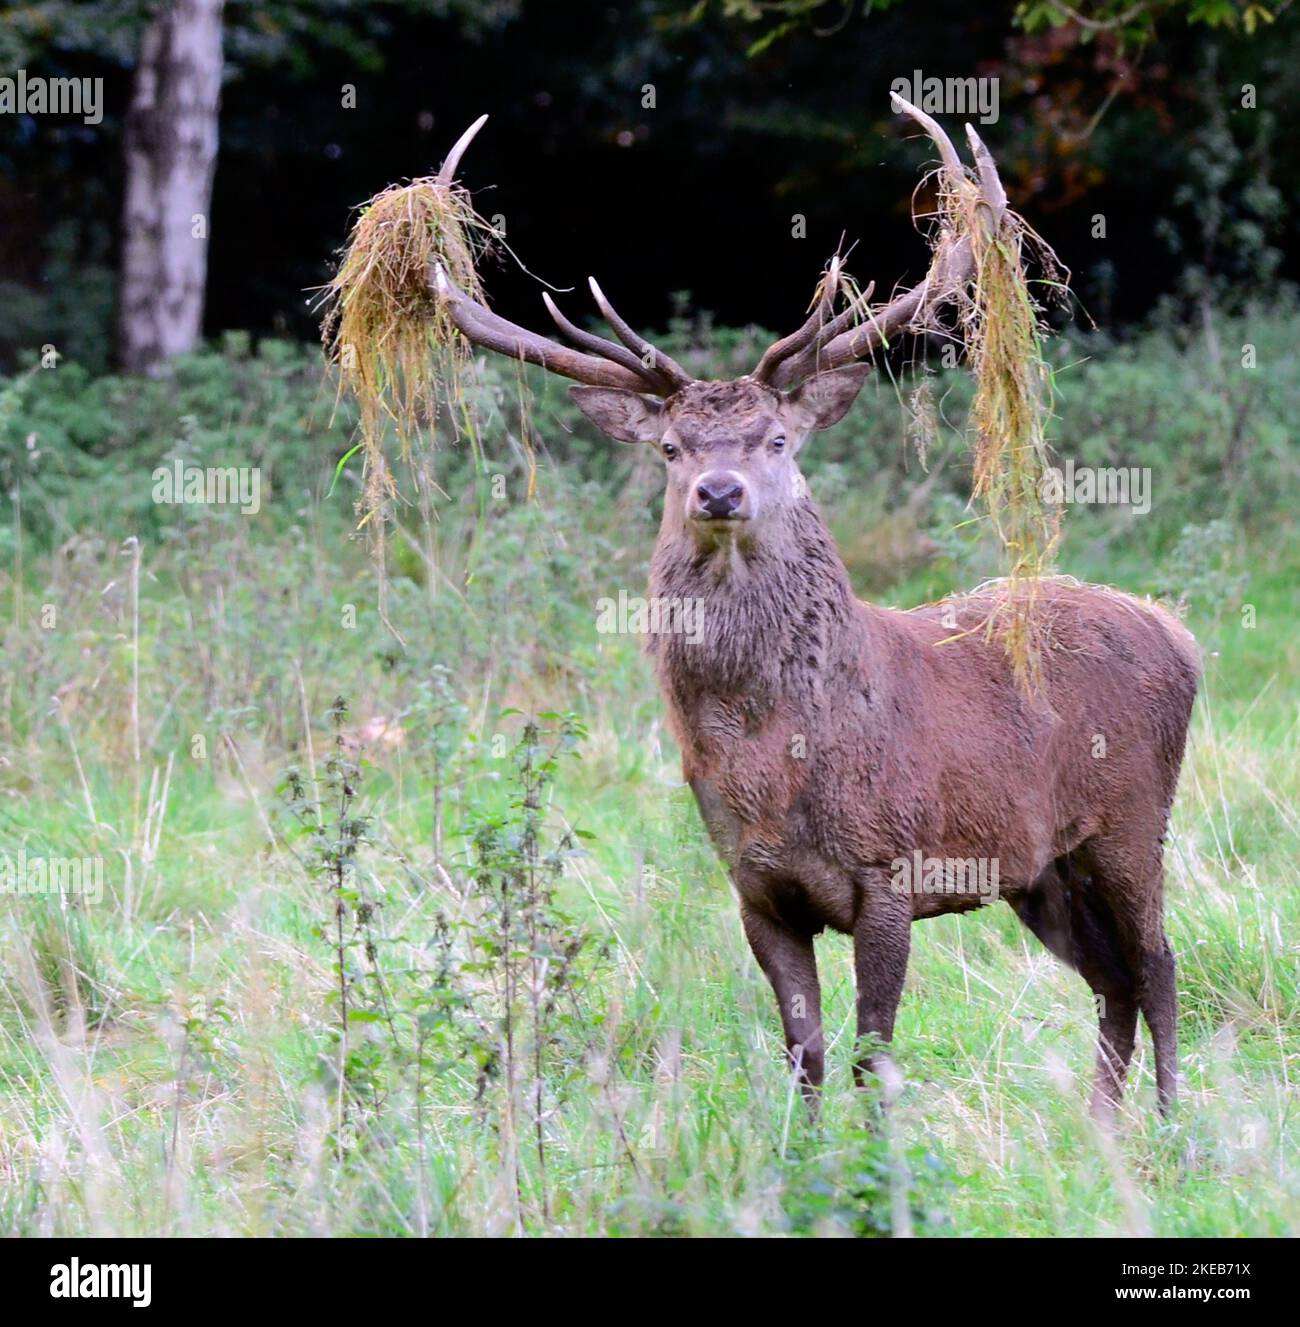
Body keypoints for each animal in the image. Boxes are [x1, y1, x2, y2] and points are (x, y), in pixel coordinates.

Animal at [427, 99, 1200, 1118]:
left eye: (777, 438)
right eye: (671, 447)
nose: (719, 491)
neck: (777, 755)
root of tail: (1180, 633)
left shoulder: (891, 868)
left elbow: (874, 1051)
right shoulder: (756, 889)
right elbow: (807, 1051)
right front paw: (806, 1148)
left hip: (1132, 818)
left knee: (1158, 964)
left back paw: (1169, 1125)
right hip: (1040, 866)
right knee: (1111, 979)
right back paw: (1098, 1130)